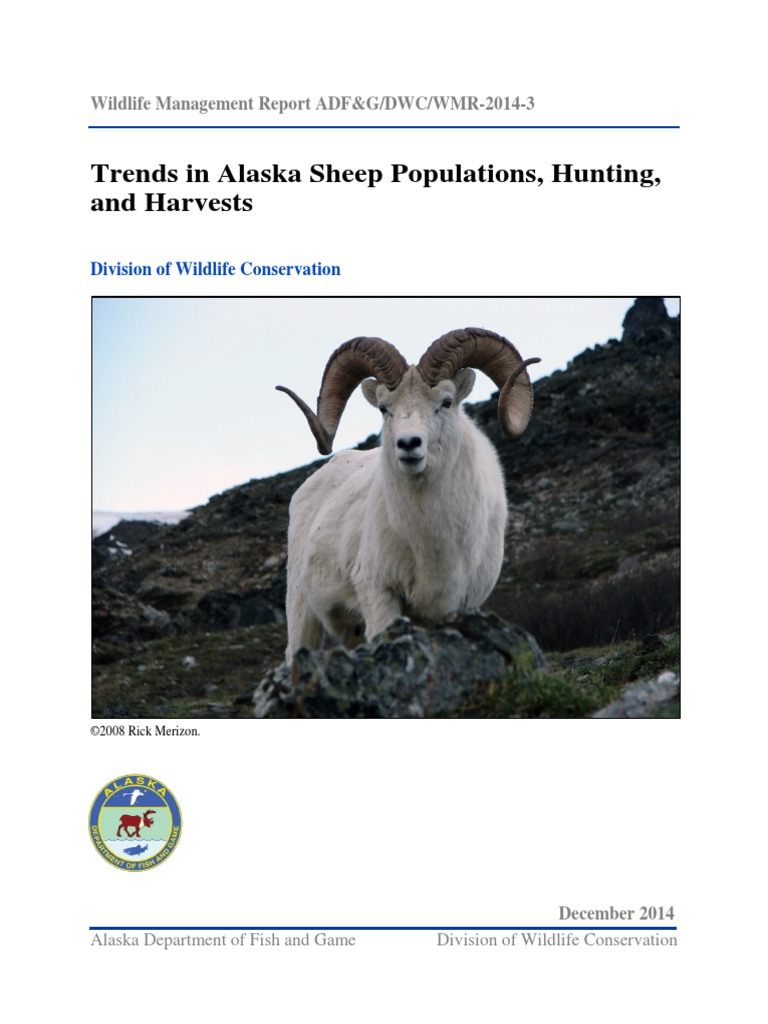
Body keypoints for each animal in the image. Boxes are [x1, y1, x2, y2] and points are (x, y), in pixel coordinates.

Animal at [276, 327, 540, 662]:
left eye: (446, 401)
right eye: (384, 408)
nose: (409, 445)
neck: (433, 542)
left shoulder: (460, 606)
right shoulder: (380, 596)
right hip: (302, 613)